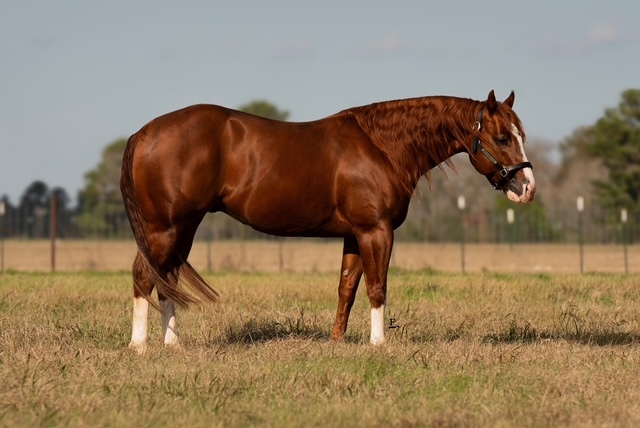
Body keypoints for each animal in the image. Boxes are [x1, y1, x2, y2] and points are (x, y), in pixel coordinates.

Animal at [120, 90, 535, 353]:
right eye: (502, 137)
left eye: (521, 135)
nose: (527, 187)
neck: (382, 146)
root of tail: (142, 133)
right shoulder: (375, 231)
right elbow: (377, 288)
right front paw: (378, 344)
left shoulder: (354, 236)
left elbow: (346, 289)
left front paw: (337, 342)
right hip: (164, 228)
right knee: (144, 276)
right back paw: (139, 346)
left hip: (183, 228)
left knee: (166, 280)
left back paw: (173, 344)